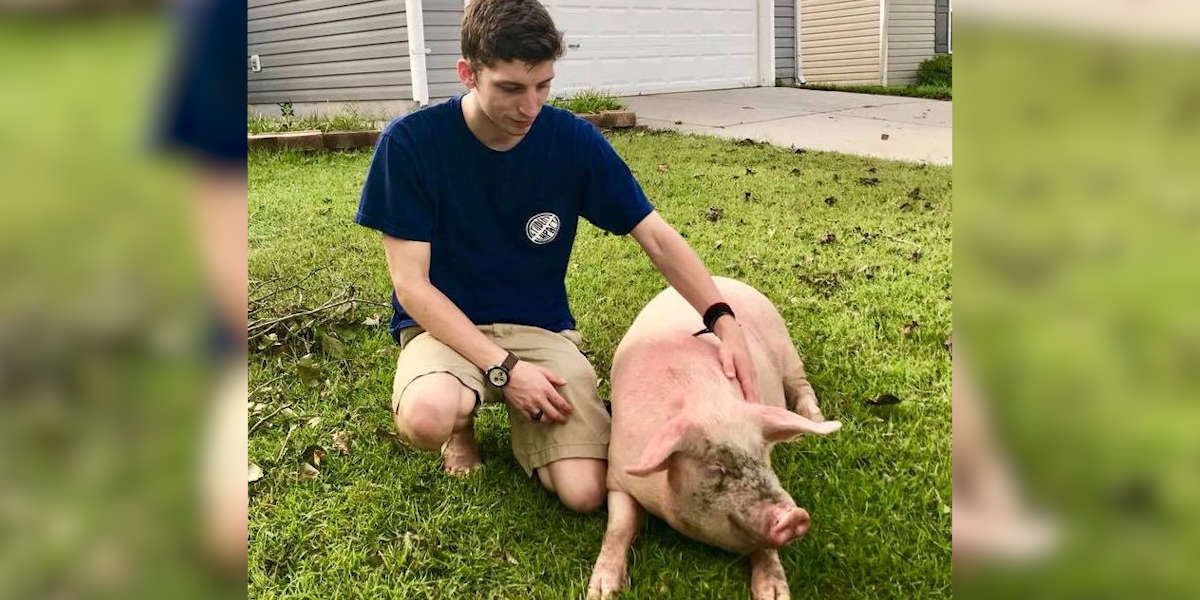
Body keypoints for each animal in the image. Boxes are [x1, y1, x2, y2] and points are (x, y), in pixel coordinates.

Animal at [587, 277, 841, 600]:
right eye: (716, 466)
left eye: (762, 456)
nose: (795, 516)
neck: (706, 404)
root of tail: (726, 279)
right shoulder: (618, 476)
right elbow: (619, 528)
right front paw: (601, 592)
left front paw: (774, 594)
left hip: (786, 348)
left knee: (802, 386)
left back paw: (814, 426)